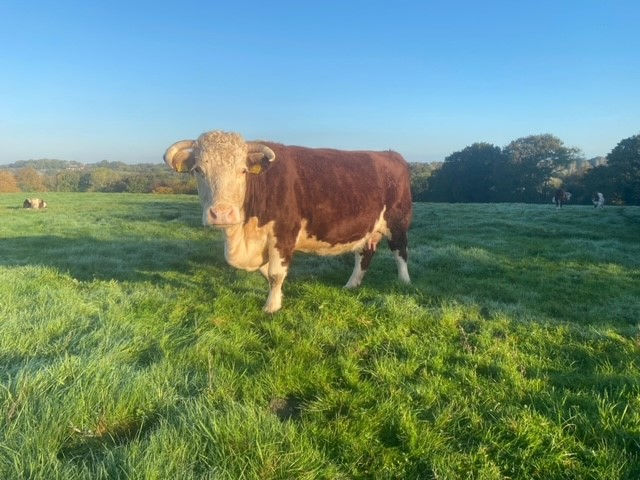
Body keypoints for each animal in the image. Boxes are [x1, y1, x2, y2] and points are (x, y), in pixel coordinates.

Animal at [164, 130, 412, 312]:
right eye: (198, 170)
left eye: (242, 171)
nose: (222, 213)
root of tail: (390, 154)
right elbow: (267, 272)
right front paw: (280, 296)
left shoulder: (283, 233)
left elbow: (275, 273)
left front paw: (272, 307)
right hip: (367, 227)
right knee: (364, 255)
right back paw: (351, 284)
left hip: (397, 222)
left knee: (400, 251)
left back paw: (404, 282)